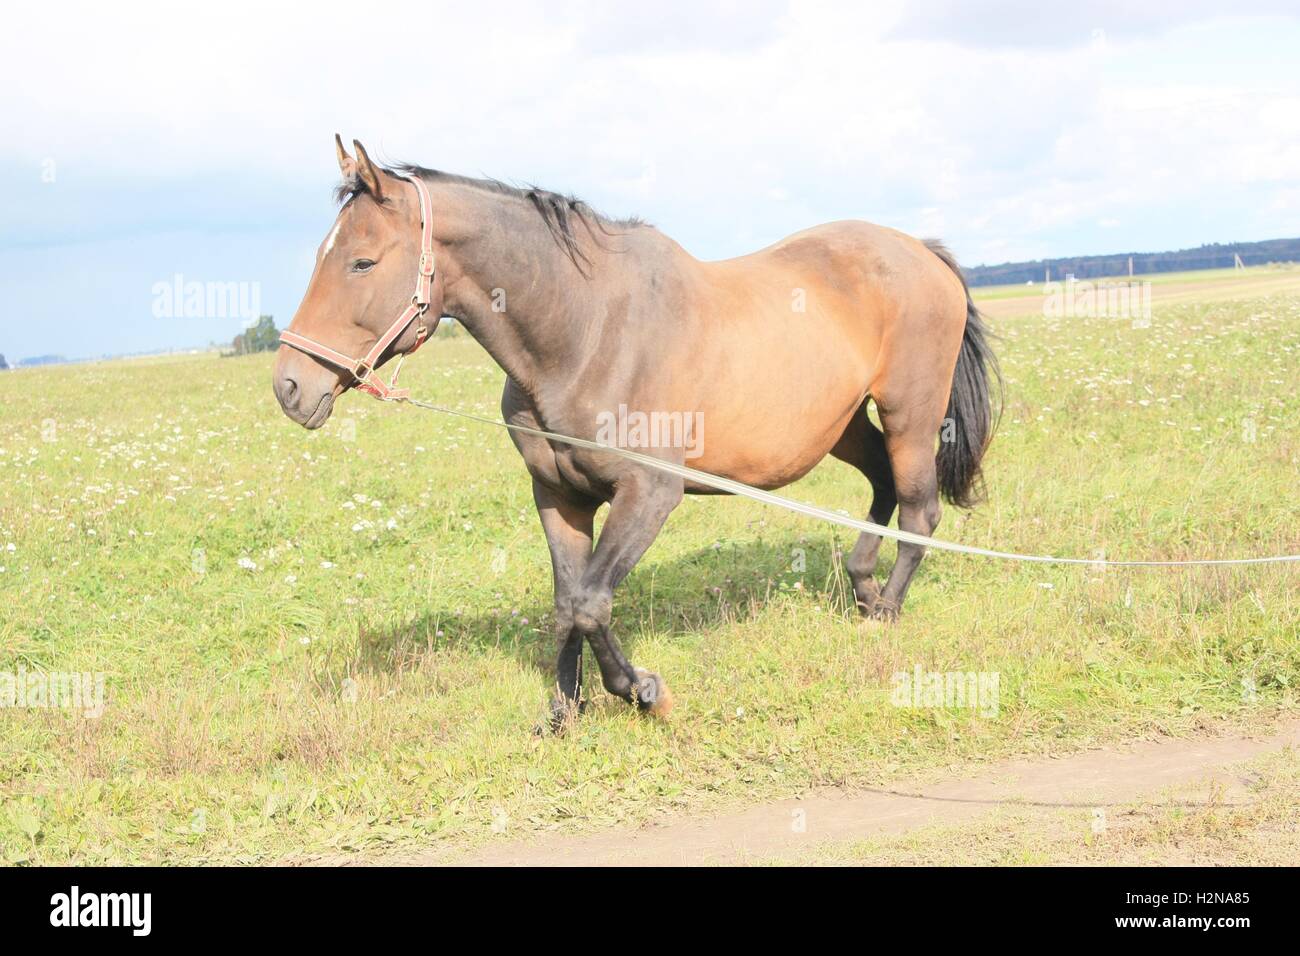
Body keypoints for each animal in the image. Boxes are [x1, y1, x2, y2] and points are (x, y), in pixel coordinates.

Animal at [274, 136, 1000, 725]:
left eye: (362, 262)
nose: (289, 386)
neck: (586, 332)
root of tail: (922, 252)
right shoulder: (558, 496)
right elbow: (567, 599)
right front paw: (564, 710)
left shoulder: (649, 494)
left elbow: (592, 601)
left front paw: (642, 690)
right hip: (842, 424)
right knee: (883, 488)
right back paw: (862, 586)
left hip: (910, 413)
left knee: (919, 510)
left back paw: (887, 612)